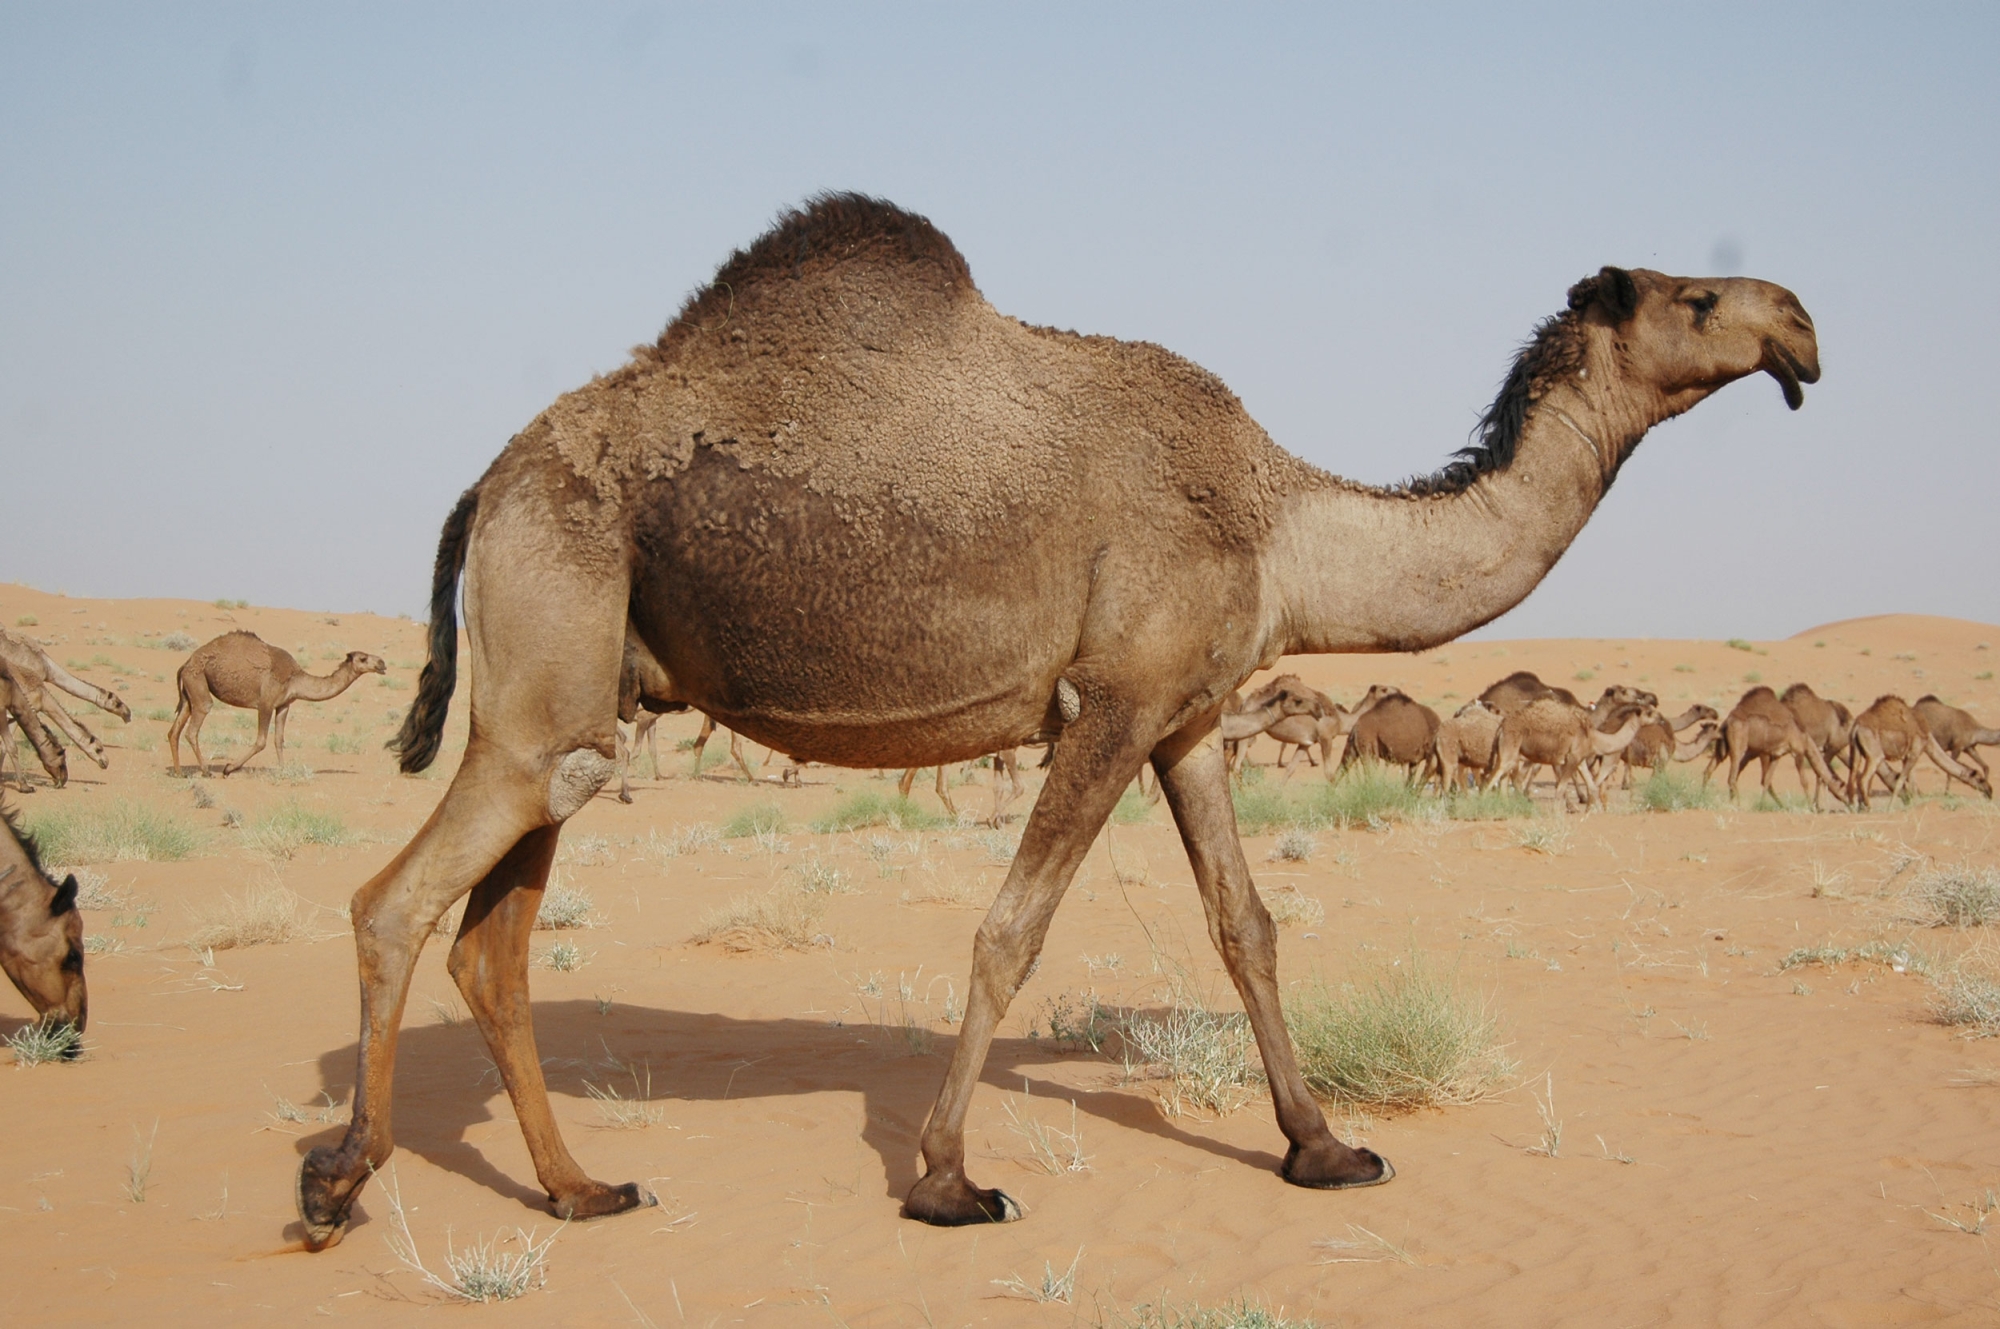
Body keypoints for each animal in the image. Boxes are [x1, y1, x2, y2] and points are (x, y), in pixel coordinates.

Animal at [167, 632, 387, 776]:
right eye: (363, 658)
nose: (382, 663)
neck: (295, 678)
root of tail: (185, 663)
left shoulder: (284, 705)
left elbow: (279, 740)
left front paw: (283, 770)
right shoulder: (265, 703)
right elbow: (261, 741)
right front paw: (228, 768)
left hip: (189, 692)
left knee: (174, 731)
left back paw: (179, 773)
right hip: (198, 682)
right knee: (193, 728)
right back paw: (205, 771)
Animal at [293, 194, 1819, 1249]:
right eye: (1695, 295)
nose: (1801, 323)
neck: (1280, 520)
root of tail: (488, 478)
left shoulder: (1189, 716)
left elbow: (1247, 928)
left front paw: (1324, 1150)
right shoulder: (1112, 701)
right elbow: (1010, 930)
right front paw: (947, 1180)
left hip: (586, 700)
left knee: (493, 941)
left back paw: (578, 1188)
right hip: (541, 661)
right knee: (391, 903)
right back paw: (337, 1181)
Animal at [1704, 686, 1844, 810]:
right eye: (1844, 791)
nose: (1849, 803)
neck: (1804, 737)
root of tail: (1726, 722)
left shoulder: (1777, 754)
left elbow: (1766, 780)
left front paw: (1763, 805)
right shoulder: (1798, 751)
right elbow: (1804, 781)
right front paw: (1810, 807)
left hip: (1722, 747)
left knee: (1709, 770)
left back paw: (1702, 797)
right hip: (1739, 745)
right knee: (1732, 777)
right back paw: (1738, 805)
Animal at [1847, 695, 1990, 807]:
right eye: (1980, 779)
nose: (1990, 791)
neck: (1928, 738)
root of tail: (1857, 726)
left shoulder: (1908, 756)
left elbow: (1912, 782)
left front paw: (1913, 805)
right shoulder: (1915, 752)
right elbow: (1901, 781)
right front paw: (1890, 807)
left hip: (1857, 752)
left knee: (1853, 776)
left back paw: (1858, 807)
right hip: (1875, 755)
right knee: (1863, 779)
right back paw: (1869, 807)